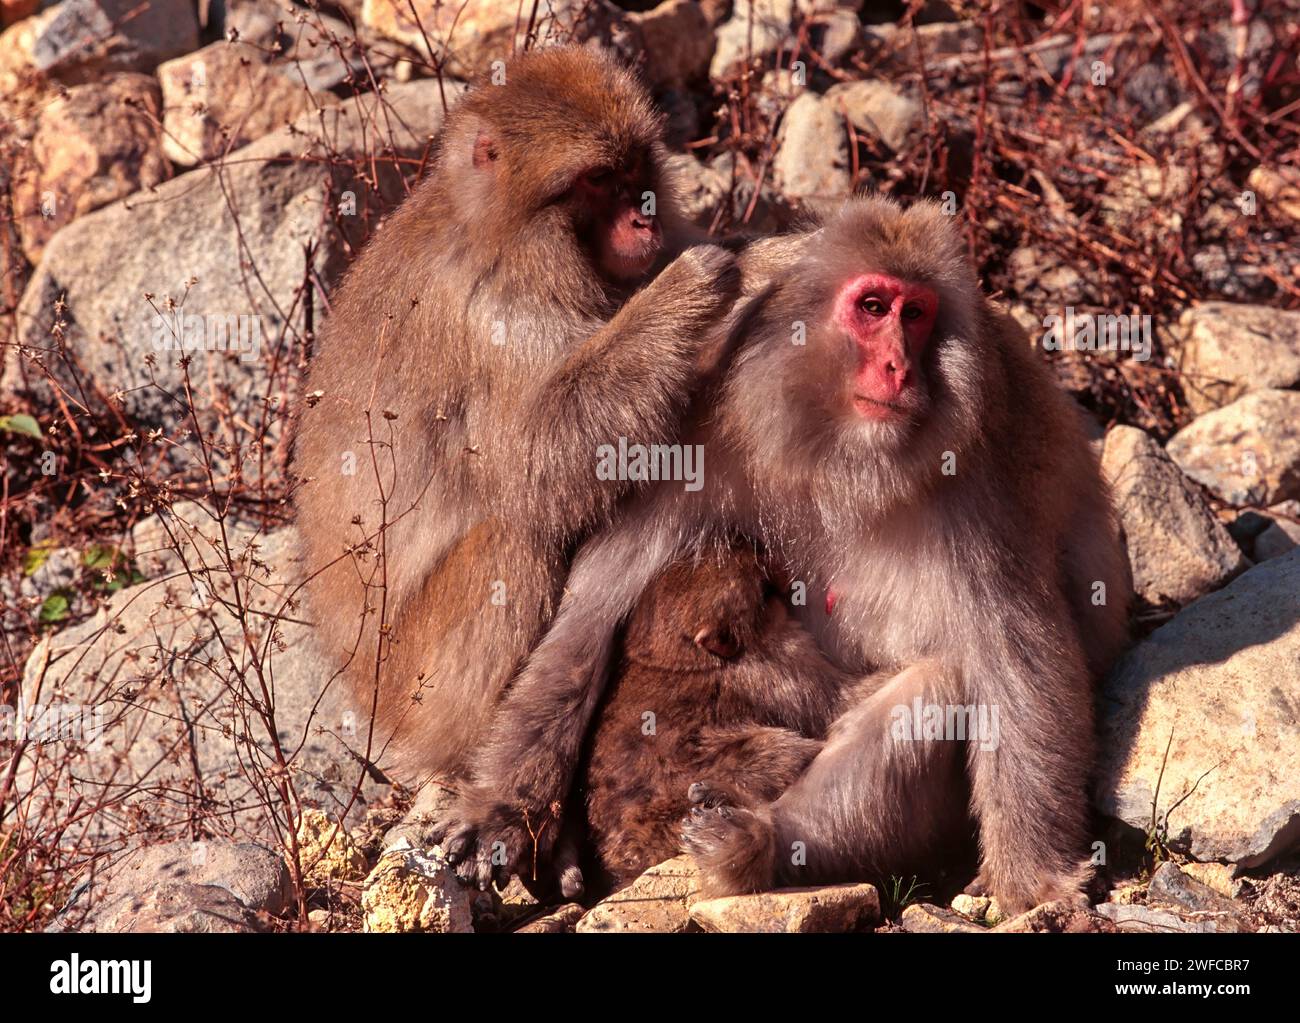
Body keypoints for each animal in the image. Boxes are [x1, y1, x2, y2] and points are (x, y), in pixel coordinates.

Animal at [292, 46, 741, 896]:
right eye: (595, 180)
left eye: (635, 169)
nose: (645, 217)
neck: (501, 230)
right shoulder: (497, 312)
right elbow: (544, 463)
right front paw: (688, 289)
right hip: (417, 688)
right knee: (515, 539)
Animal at [582, 541, 858, 887]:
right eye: (765, 586)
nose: (773, 559)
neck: (677, 657)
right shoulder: (779, 665)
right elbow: (840, 701)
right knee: (777, 751)